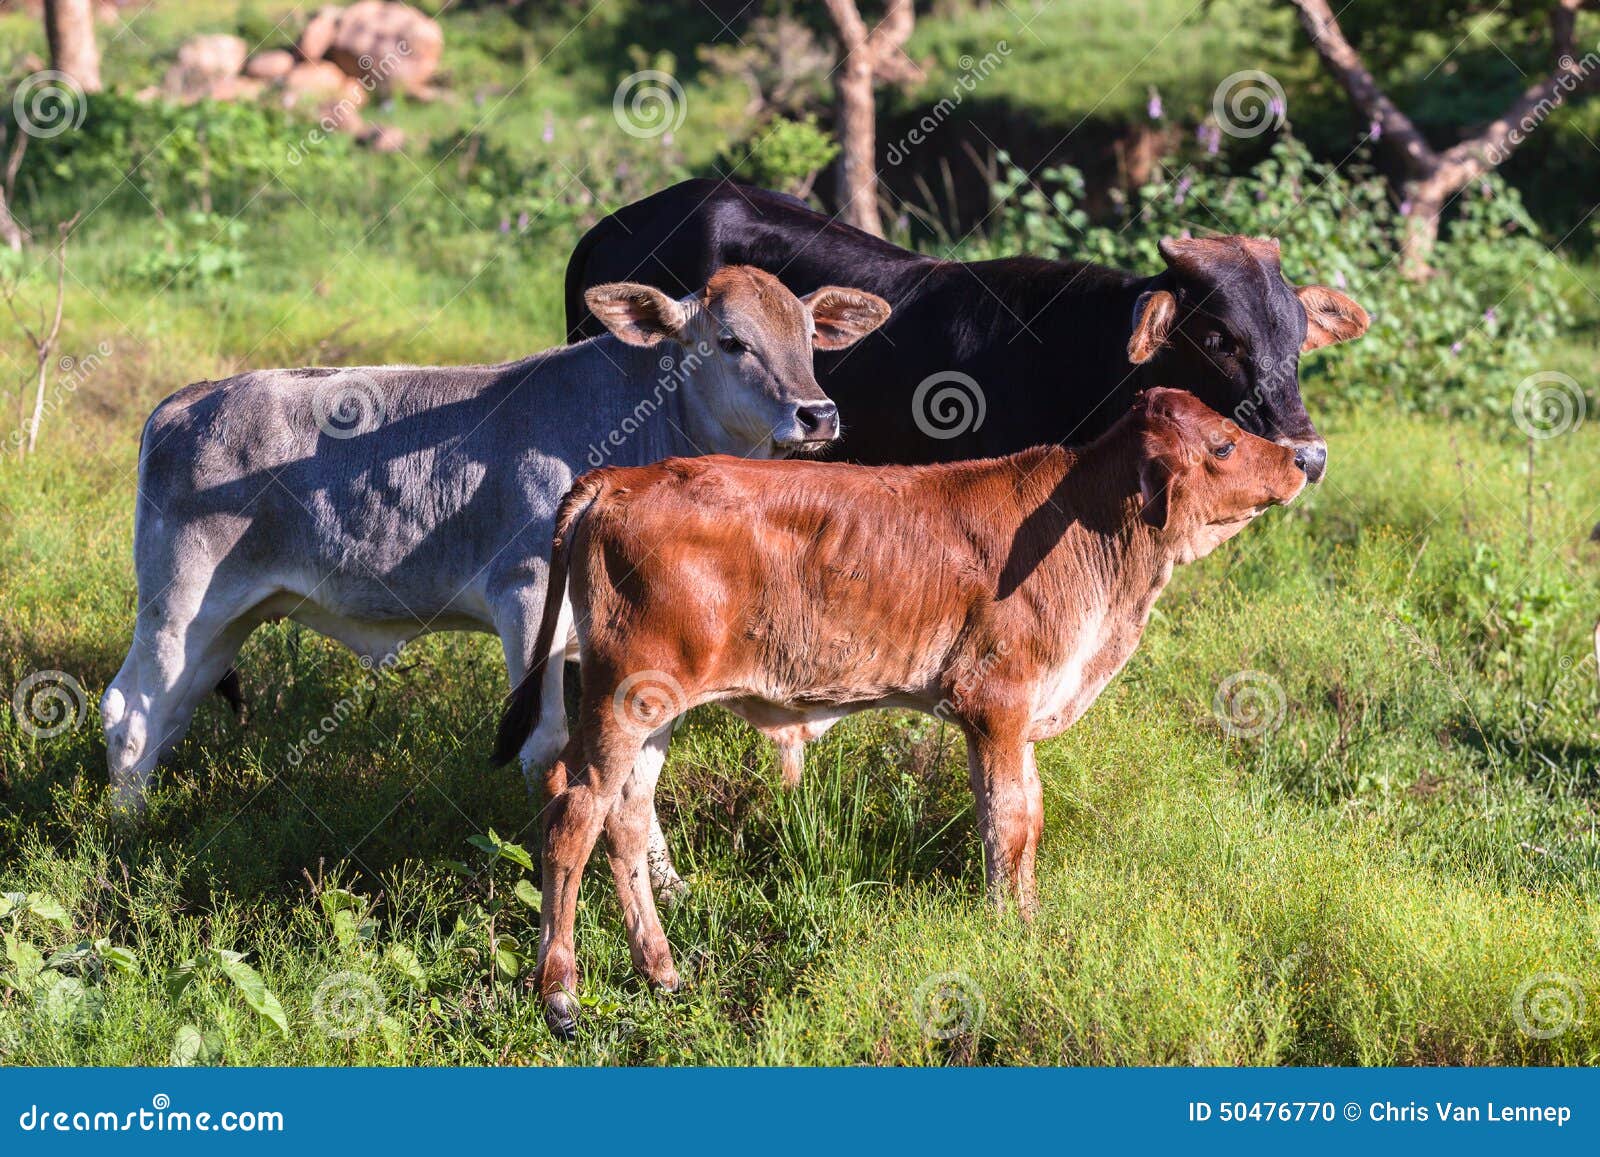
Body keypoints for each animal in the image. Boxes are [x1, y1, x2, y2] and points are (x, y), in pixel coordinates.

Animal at [100, 266, 891, 904]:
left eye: (809, 339)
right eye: (730, 341)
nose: (817, 413)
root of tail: (185, 400)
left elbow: (640, 761)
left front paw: (665, 882)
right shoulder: (526, 599)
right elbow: (549, 749)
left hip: (226, 619)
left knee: (169, 711)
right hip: (178, 605)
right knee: (131, 710)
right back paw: (123, 838)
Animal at [491, 388, 1307, 1037]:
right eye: (1224, 442)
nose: (1304, 459)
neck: (1090, 530)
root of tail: (617, 479)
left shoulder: (1010, 723)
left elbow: (1025, 819)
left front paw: (1028, 924)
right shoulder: (997, 704)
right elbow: (1007, 825)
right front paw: (1009, 933)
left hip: (656, 710)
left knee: (626, 817)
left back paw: (661, 970)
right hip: (626, 697)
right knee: (573, 810)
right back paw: (559, 993)